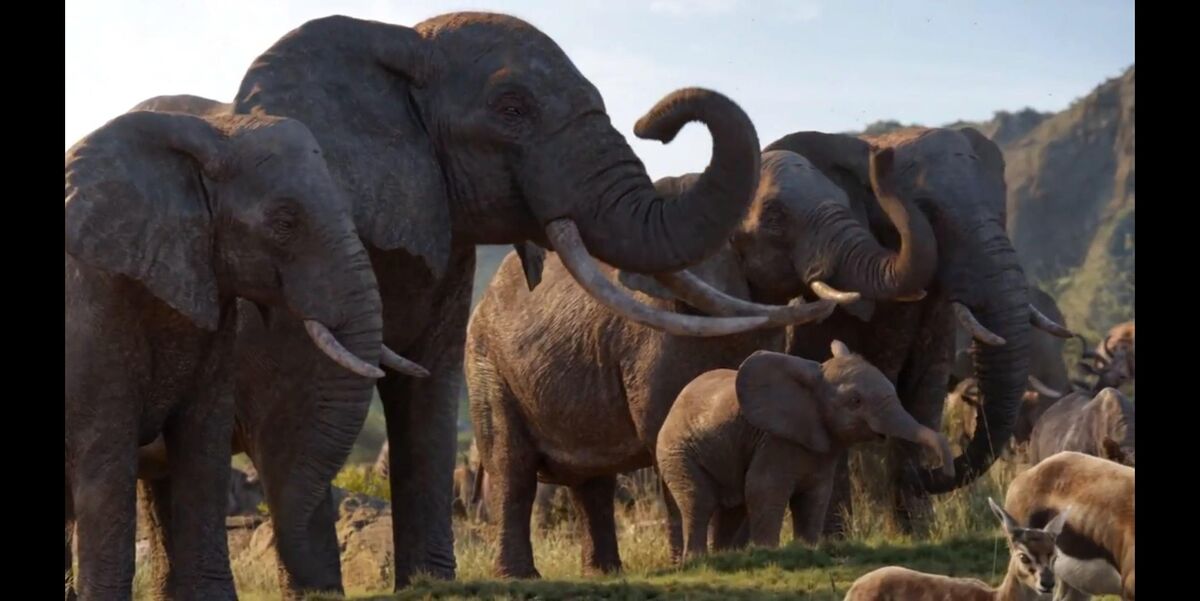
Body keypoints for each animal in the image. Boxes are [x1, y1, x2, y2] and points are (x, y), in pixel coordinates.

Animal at [129, 12, 778, 597]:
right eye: (512, 109)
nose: (654, 124)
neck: (401, 41)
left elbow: (428, 398)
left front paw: (428, 584)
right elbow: (302, 415)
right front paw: (320, 593)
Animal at [655, 343, 954, 562]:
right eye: (856, 401)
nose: (942, 468)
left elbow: (815, 496)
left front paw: (807, 550)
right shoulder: (775, 440)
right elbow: (765, 488)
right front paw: (768, 553)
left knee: (733, 508)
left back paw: (725, 558)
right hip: (677, 452)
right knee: (700, 500)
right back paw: (697, 561)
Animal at [766, 129, 1072, 535]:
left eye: (1001, 212)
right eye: (929, 213)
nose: (933, 471)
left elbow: (924, 389)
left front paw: (915, 530)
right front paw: (835, 537)